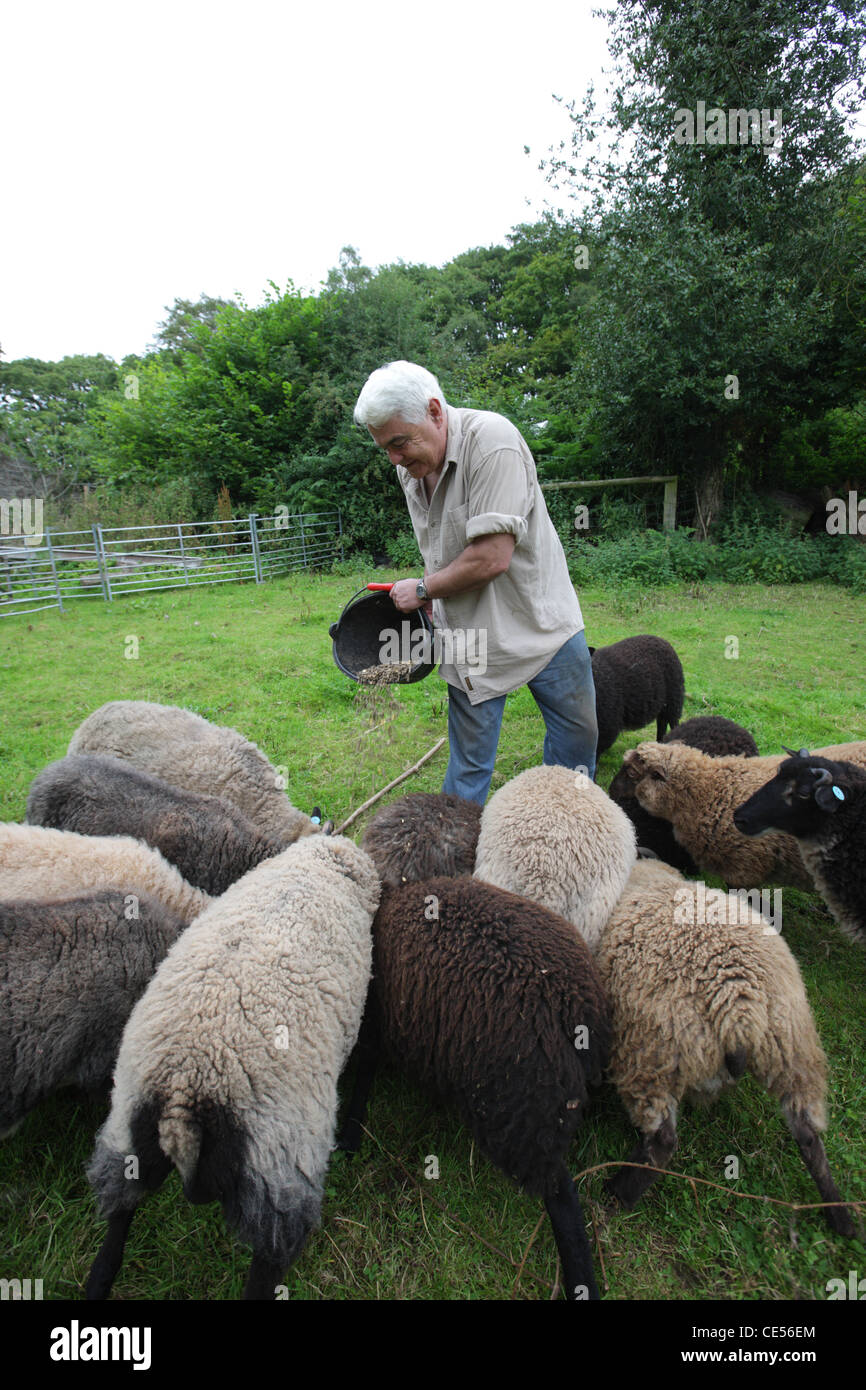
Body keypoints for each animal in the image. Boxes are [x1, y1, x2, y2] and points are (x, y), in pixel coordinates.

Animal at [85, 834, 380, 1301]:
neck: (321, 861)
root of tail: (184, 1090)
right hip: (277, 1161)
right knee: (268, 1262)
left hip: (127, 1128)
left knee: (116, 1222)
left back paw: (98, 1280)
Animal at [339, 876, 612, 1300]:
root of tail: (570, 1007)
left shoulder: (372, 1028)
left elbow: (363, 1080)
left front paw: (350, 1139)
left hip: (522, 1113)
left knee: (561, 1193)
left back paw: (581, 1280)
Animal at [596, 860, 856, 1236]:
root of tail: (739, 1002)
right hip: (792, 1050)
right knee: (809, 1136)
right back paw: (840, 1216)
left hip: (652, 1053)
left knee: (663, 1140)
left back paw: (618, 1192)